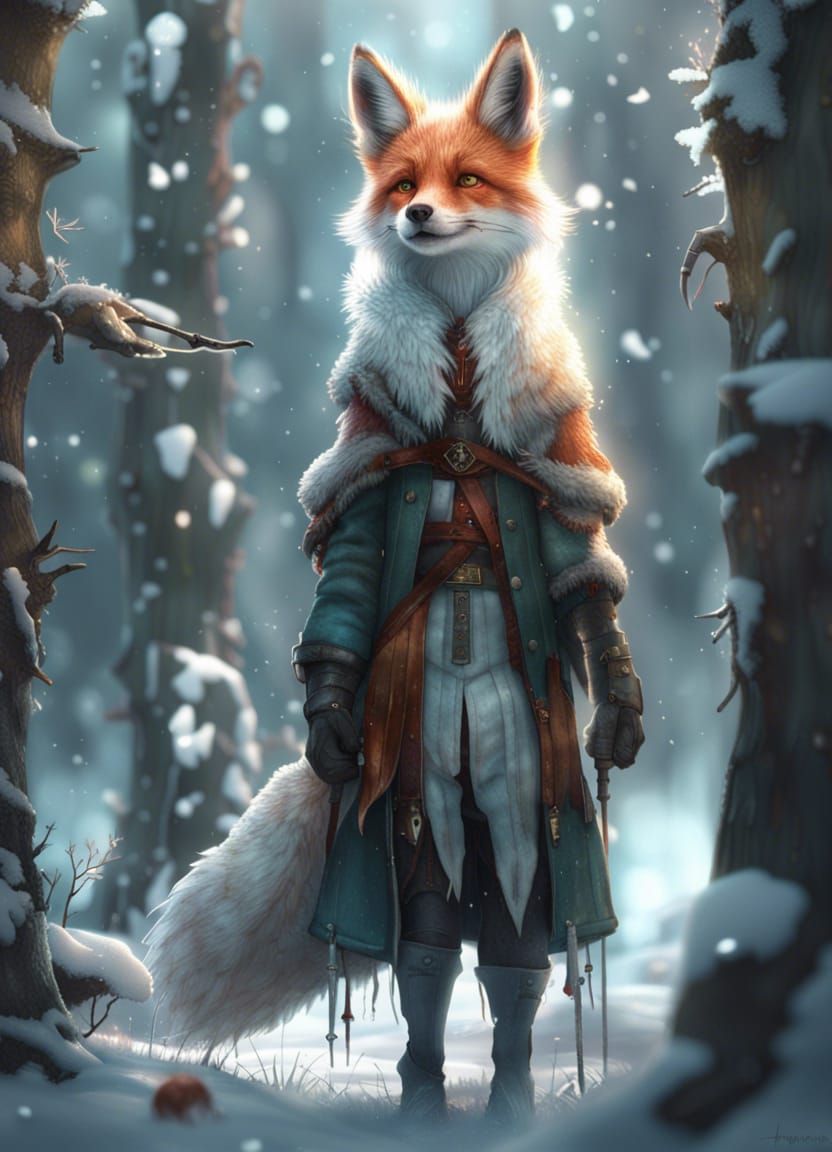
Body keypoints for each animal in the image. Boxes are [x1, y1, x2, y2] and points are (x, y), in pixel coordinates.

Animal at [146, 30, 644, 1125]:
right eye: (404, 183)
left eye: (467, 181)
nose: (416, 215)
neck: (456, 385)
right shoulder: (367, 458)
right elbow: (347, 575)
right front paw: (326, 720)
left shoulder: (556, 461)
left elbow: (582, 577)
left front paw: (622, 711)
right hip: (421, 766)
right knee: (427, 914)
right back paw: (420, 1089)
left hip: (507, 766)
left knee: (512, 918)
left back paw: (506, 1094)